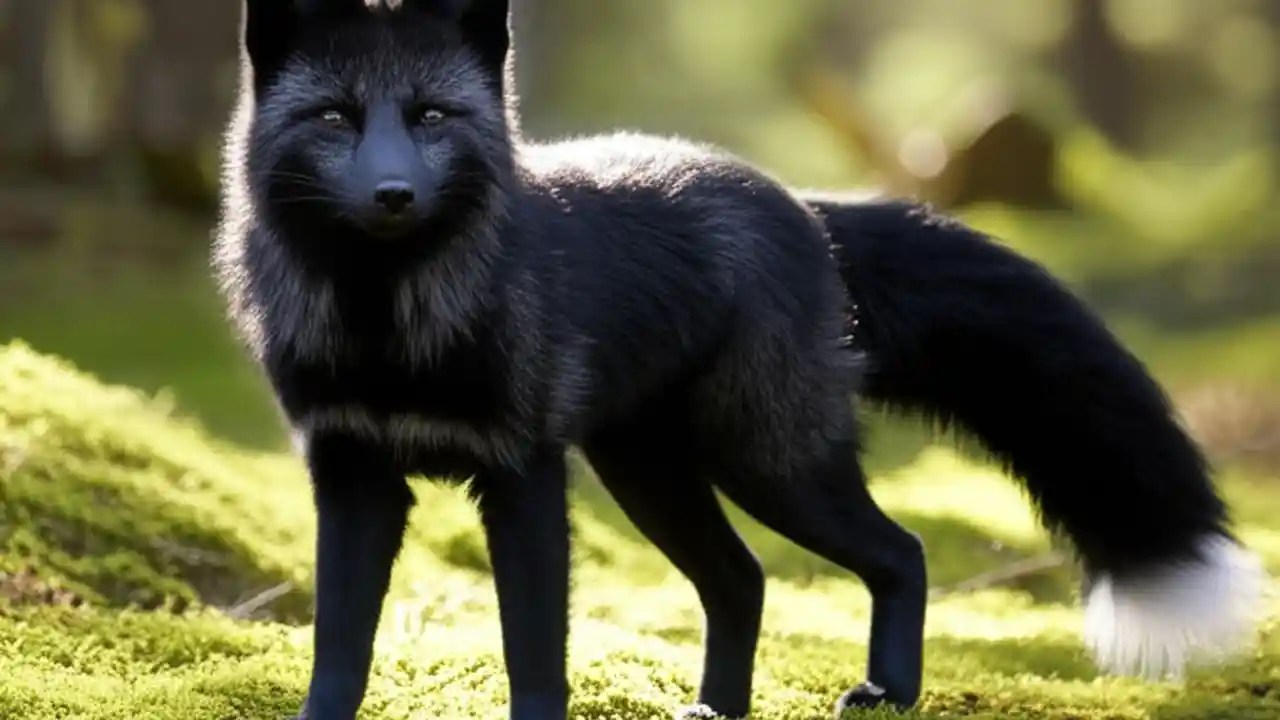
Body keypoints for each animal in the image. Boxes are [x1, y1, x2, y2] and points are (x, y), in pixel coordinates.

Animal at [213, 1, 1266, 719]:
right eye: (336, 118)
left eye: (432, 116)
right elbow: (338, 651)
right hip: (651, 471)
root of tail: (805, 209)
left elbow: (535, 652)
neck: (388, 334)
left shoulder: (522, 474)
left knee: (899, 552)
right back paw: (717, 709)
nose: (393, 194)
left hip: (768, 461)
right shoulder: (352, 474)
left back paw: (888, 693)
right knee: (743, 579)